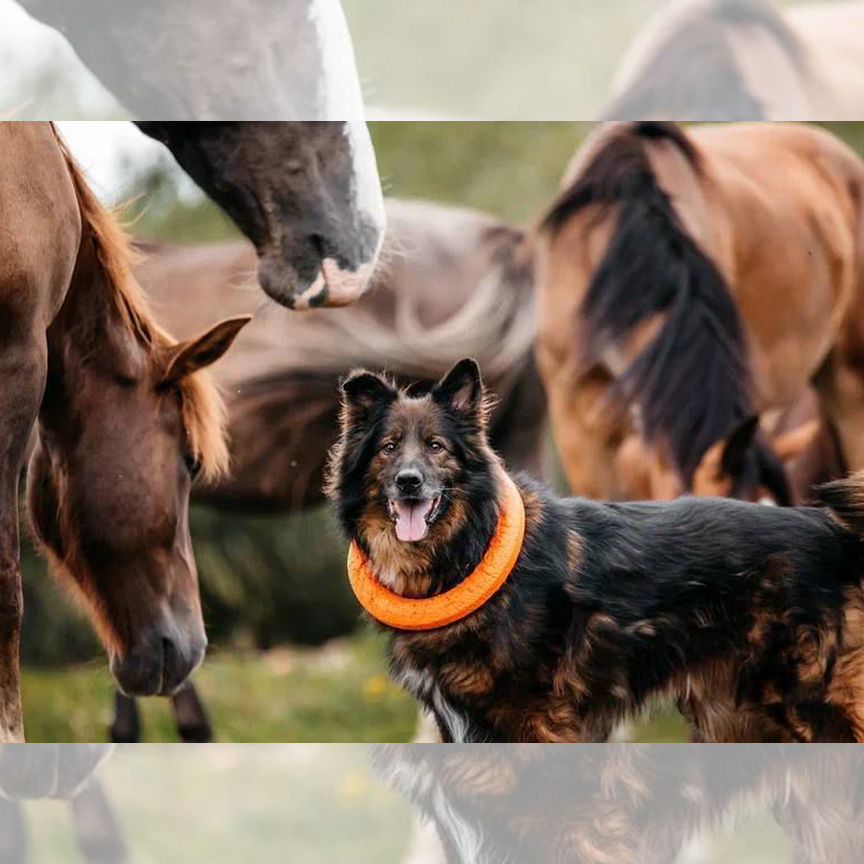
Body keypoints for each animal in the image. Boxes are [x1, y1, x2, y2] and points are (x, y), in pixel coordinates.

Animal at [328, 358, 864, 744]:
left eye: (436, 446)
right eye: (389, 447)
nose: (409, 483)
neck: (463, 553)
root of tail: (834, 531)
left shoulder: (537, 724)